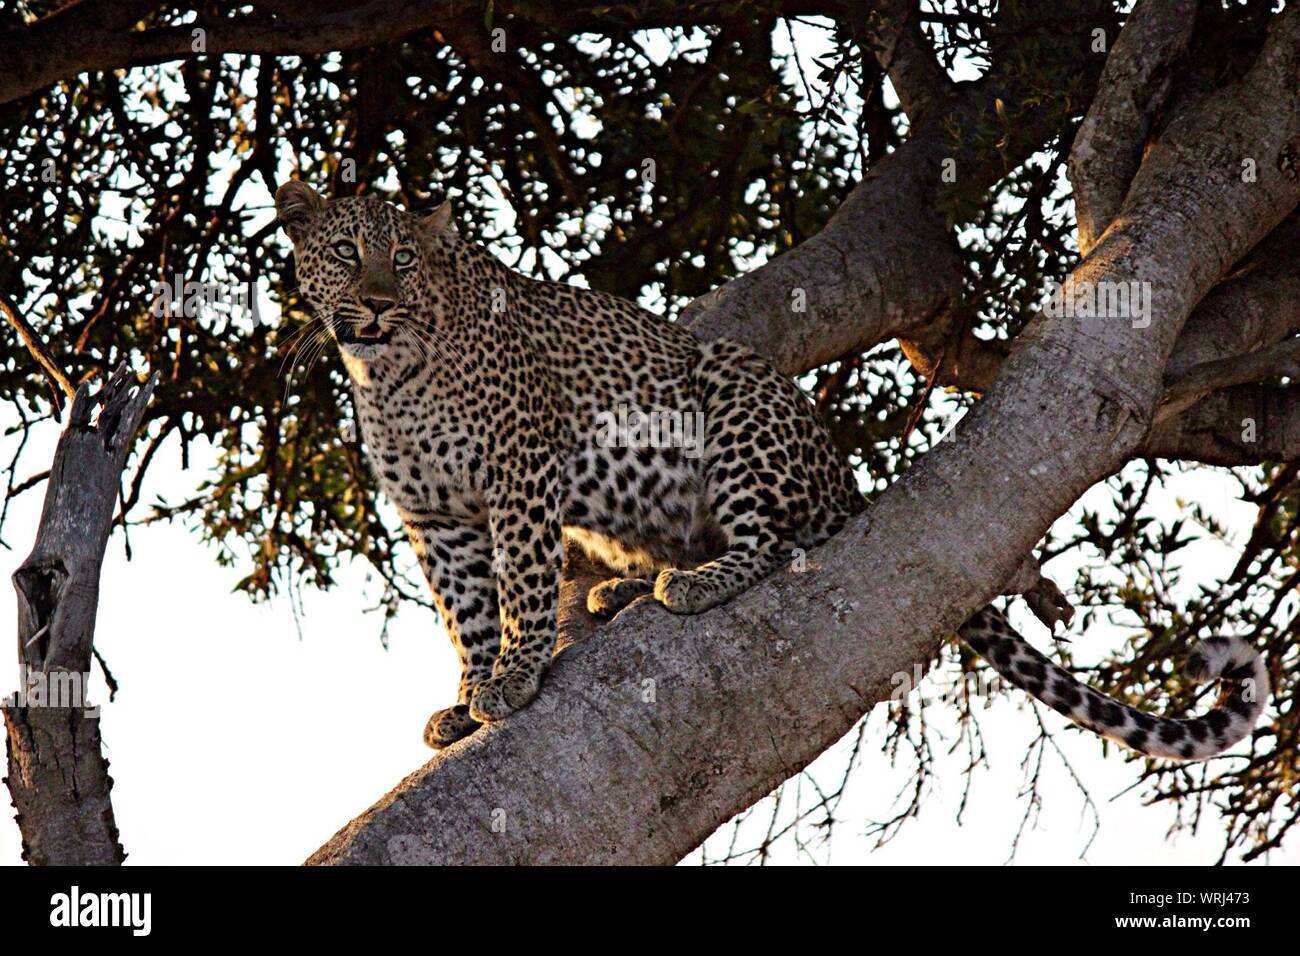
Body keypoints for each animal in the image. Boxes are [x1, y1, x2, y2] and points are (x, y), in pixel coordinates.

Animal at [274, 181, 1268, 760]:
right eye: (345, 252)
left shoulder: (519, 472)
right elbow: (462, 613)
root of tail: (845, 480)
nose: (374, 302)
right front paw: (466, 694)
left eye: (403, 257)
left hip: (725, 388)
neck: (391, 372)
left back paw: (694, 581)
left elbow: (516, 587)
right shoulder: (433, 516)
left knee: (769, 540)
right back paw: (620, 589)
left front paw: (514, 674)